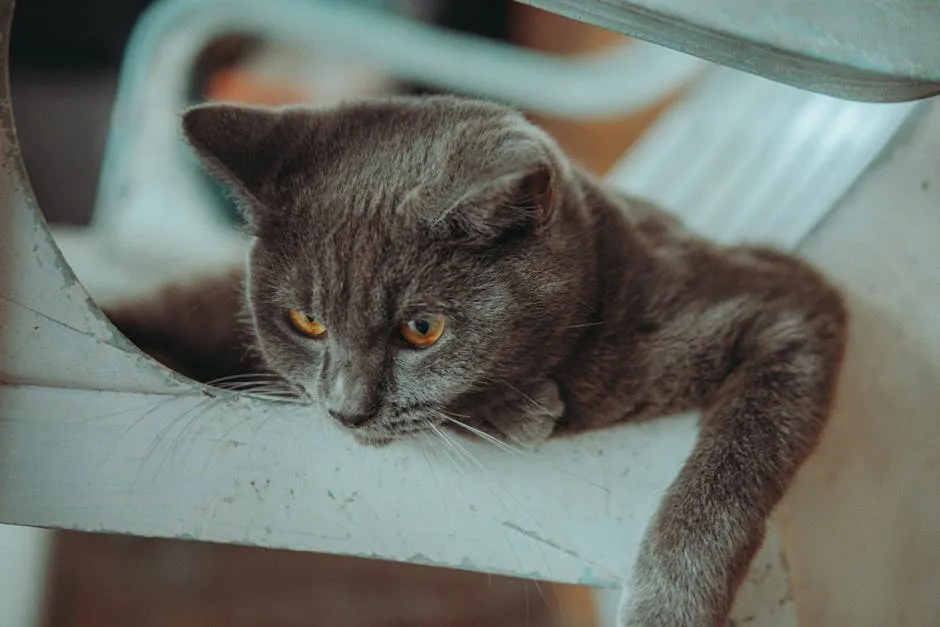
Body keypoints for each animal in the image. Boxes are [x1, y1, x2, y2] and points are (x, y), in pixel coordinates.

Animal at [106, 94, 848, 627]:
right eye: (307, 321)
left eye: (422, 329)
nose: (346, 408)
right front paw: (525, 409)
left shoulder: (789, 304)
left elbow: (720, 480)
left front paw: (666, 612)